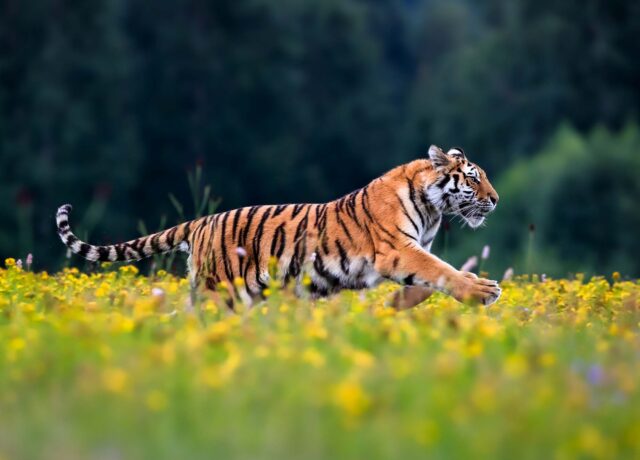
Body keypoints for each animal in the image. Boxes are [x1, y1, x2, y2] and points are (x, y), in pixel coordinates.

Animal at [56, 145, 501, 310]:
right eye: (474, 177)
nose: (496, 199)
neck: (432, 206)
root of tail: (201, 222)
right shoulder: (399, 250)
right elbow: (440, 270)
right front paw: (482, 290)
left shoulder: (413, 252)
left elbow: (429, 280)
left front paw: (392, 308)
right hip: (222, 292)